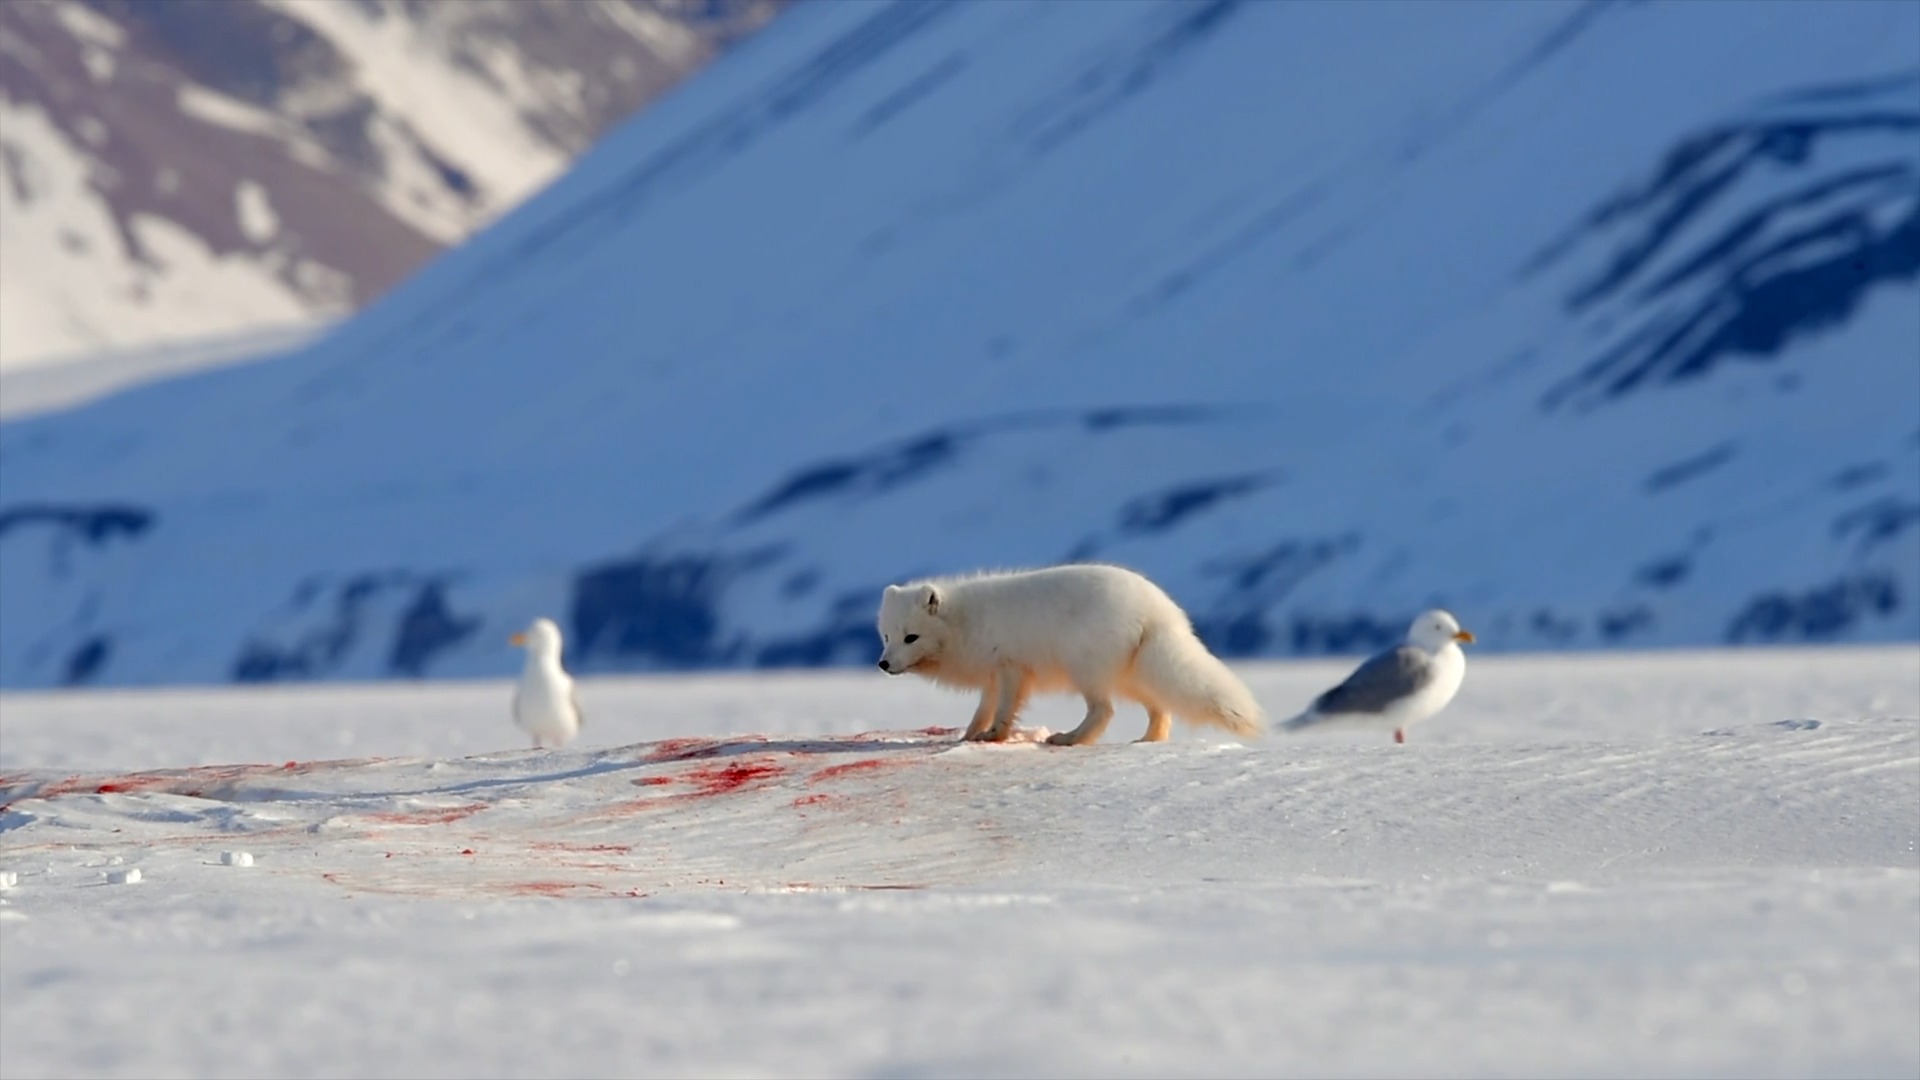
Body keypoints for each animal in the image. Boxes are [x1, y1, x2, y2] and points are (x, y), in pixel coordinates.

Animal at [874, 564, 1264, 746]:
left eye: (911, 637)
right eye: (887, 636)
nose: (883, 664)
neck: (965, 623)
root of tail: (1159, 608)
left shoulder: (1012, 667)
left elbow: (1002, 713)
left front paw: (993, 737)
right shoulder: (995, 674)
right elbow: (983, 710)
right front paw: (970, 736)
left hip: (1086, 668)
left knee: (1104, 711)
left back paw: (1069, 739)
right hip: (1131, 676)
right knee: (1160, 709)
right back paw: (1148, 740)